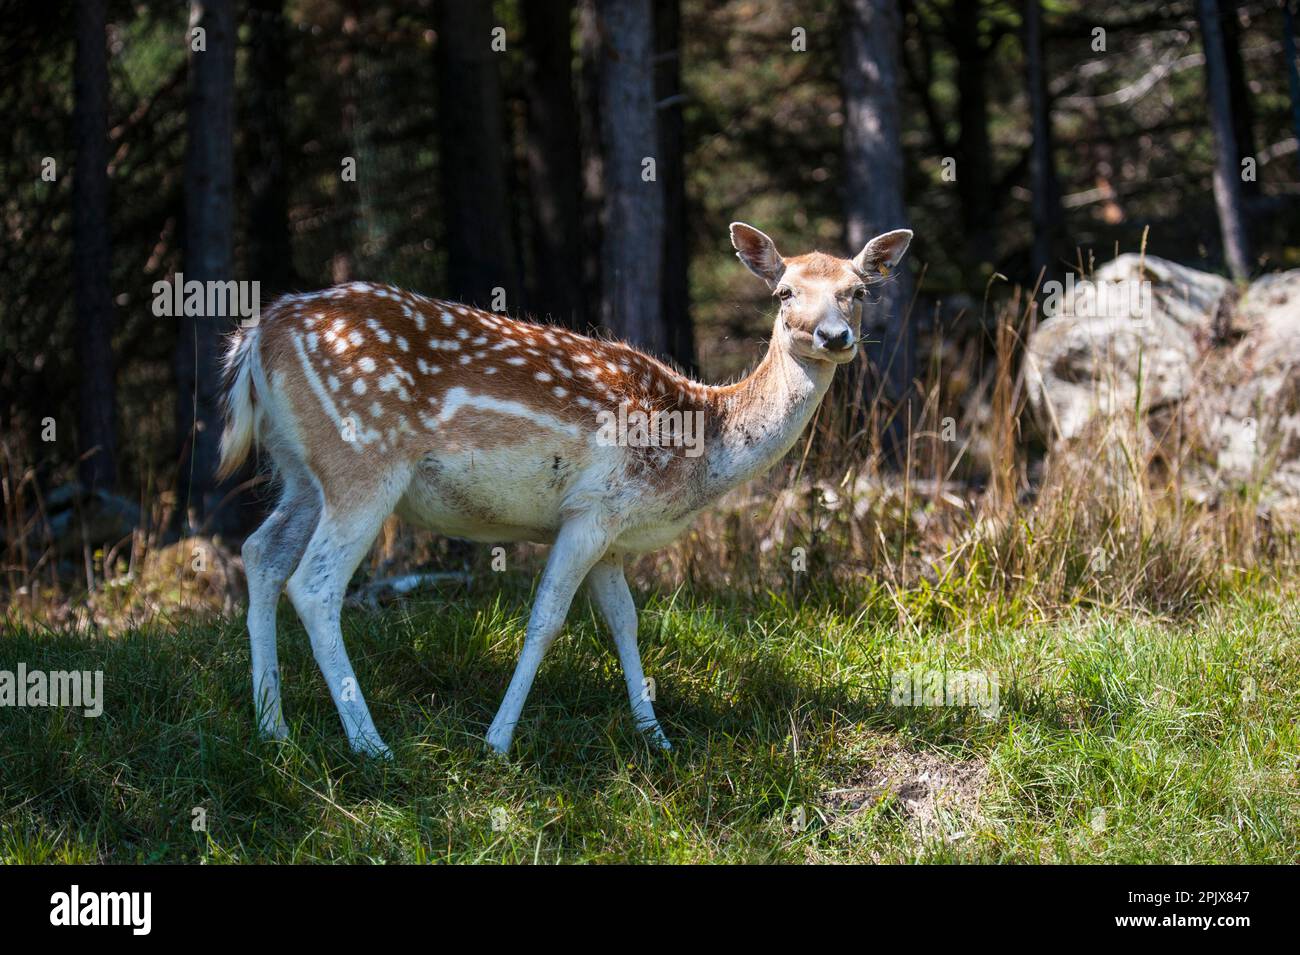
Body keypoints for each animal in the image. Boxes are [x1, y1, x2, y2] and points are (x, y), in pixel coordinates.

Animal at [218, 222, 912, 757]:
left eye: (857, 292)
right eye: (784, 290)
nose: (834, 337)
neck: (701, 441)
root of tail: (256, 340)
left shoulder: (613, 532)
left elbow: (626, 623)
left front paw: (655, 737)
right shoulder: (591, 510)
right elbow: (546, 619)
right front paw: (496, 741)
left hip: (300, 472)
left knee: (260, 553)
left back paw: (273, 728)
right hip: (363, 460)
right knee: (313, 584)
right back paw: (371, 745)